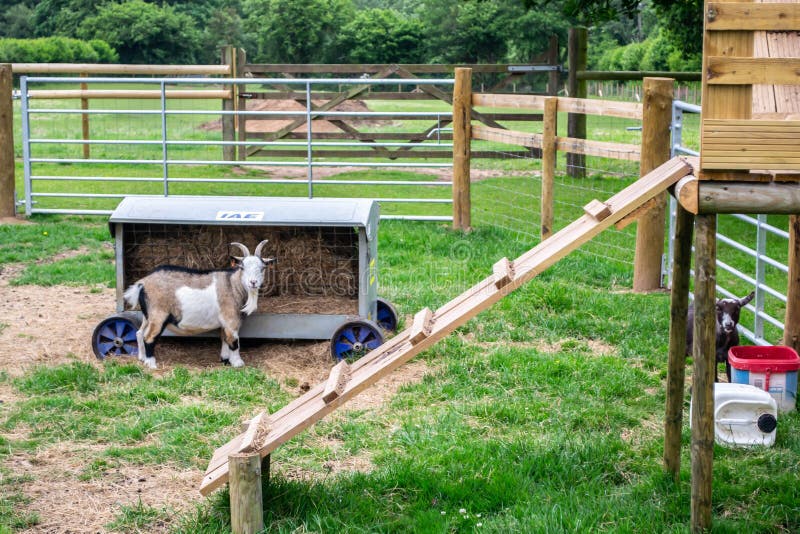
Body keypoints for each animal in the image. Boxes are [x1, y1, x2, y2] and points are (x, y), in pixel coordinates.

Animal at [123, 240, 275, 369]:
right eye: (242, 267)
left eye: (262, 268)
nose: (253, 282)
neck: (232, 285)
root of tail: (142, 283)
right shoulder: (230, 320)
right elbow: (233, 341)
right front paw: (238, 363)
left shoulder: (224, 322)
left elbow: (224, 338)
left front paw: (225, 359)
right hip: (158, 314)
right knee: (149, 337)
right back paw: (151, 364)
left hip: (147, 315)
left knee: (139, 333)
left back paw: (142, 358)